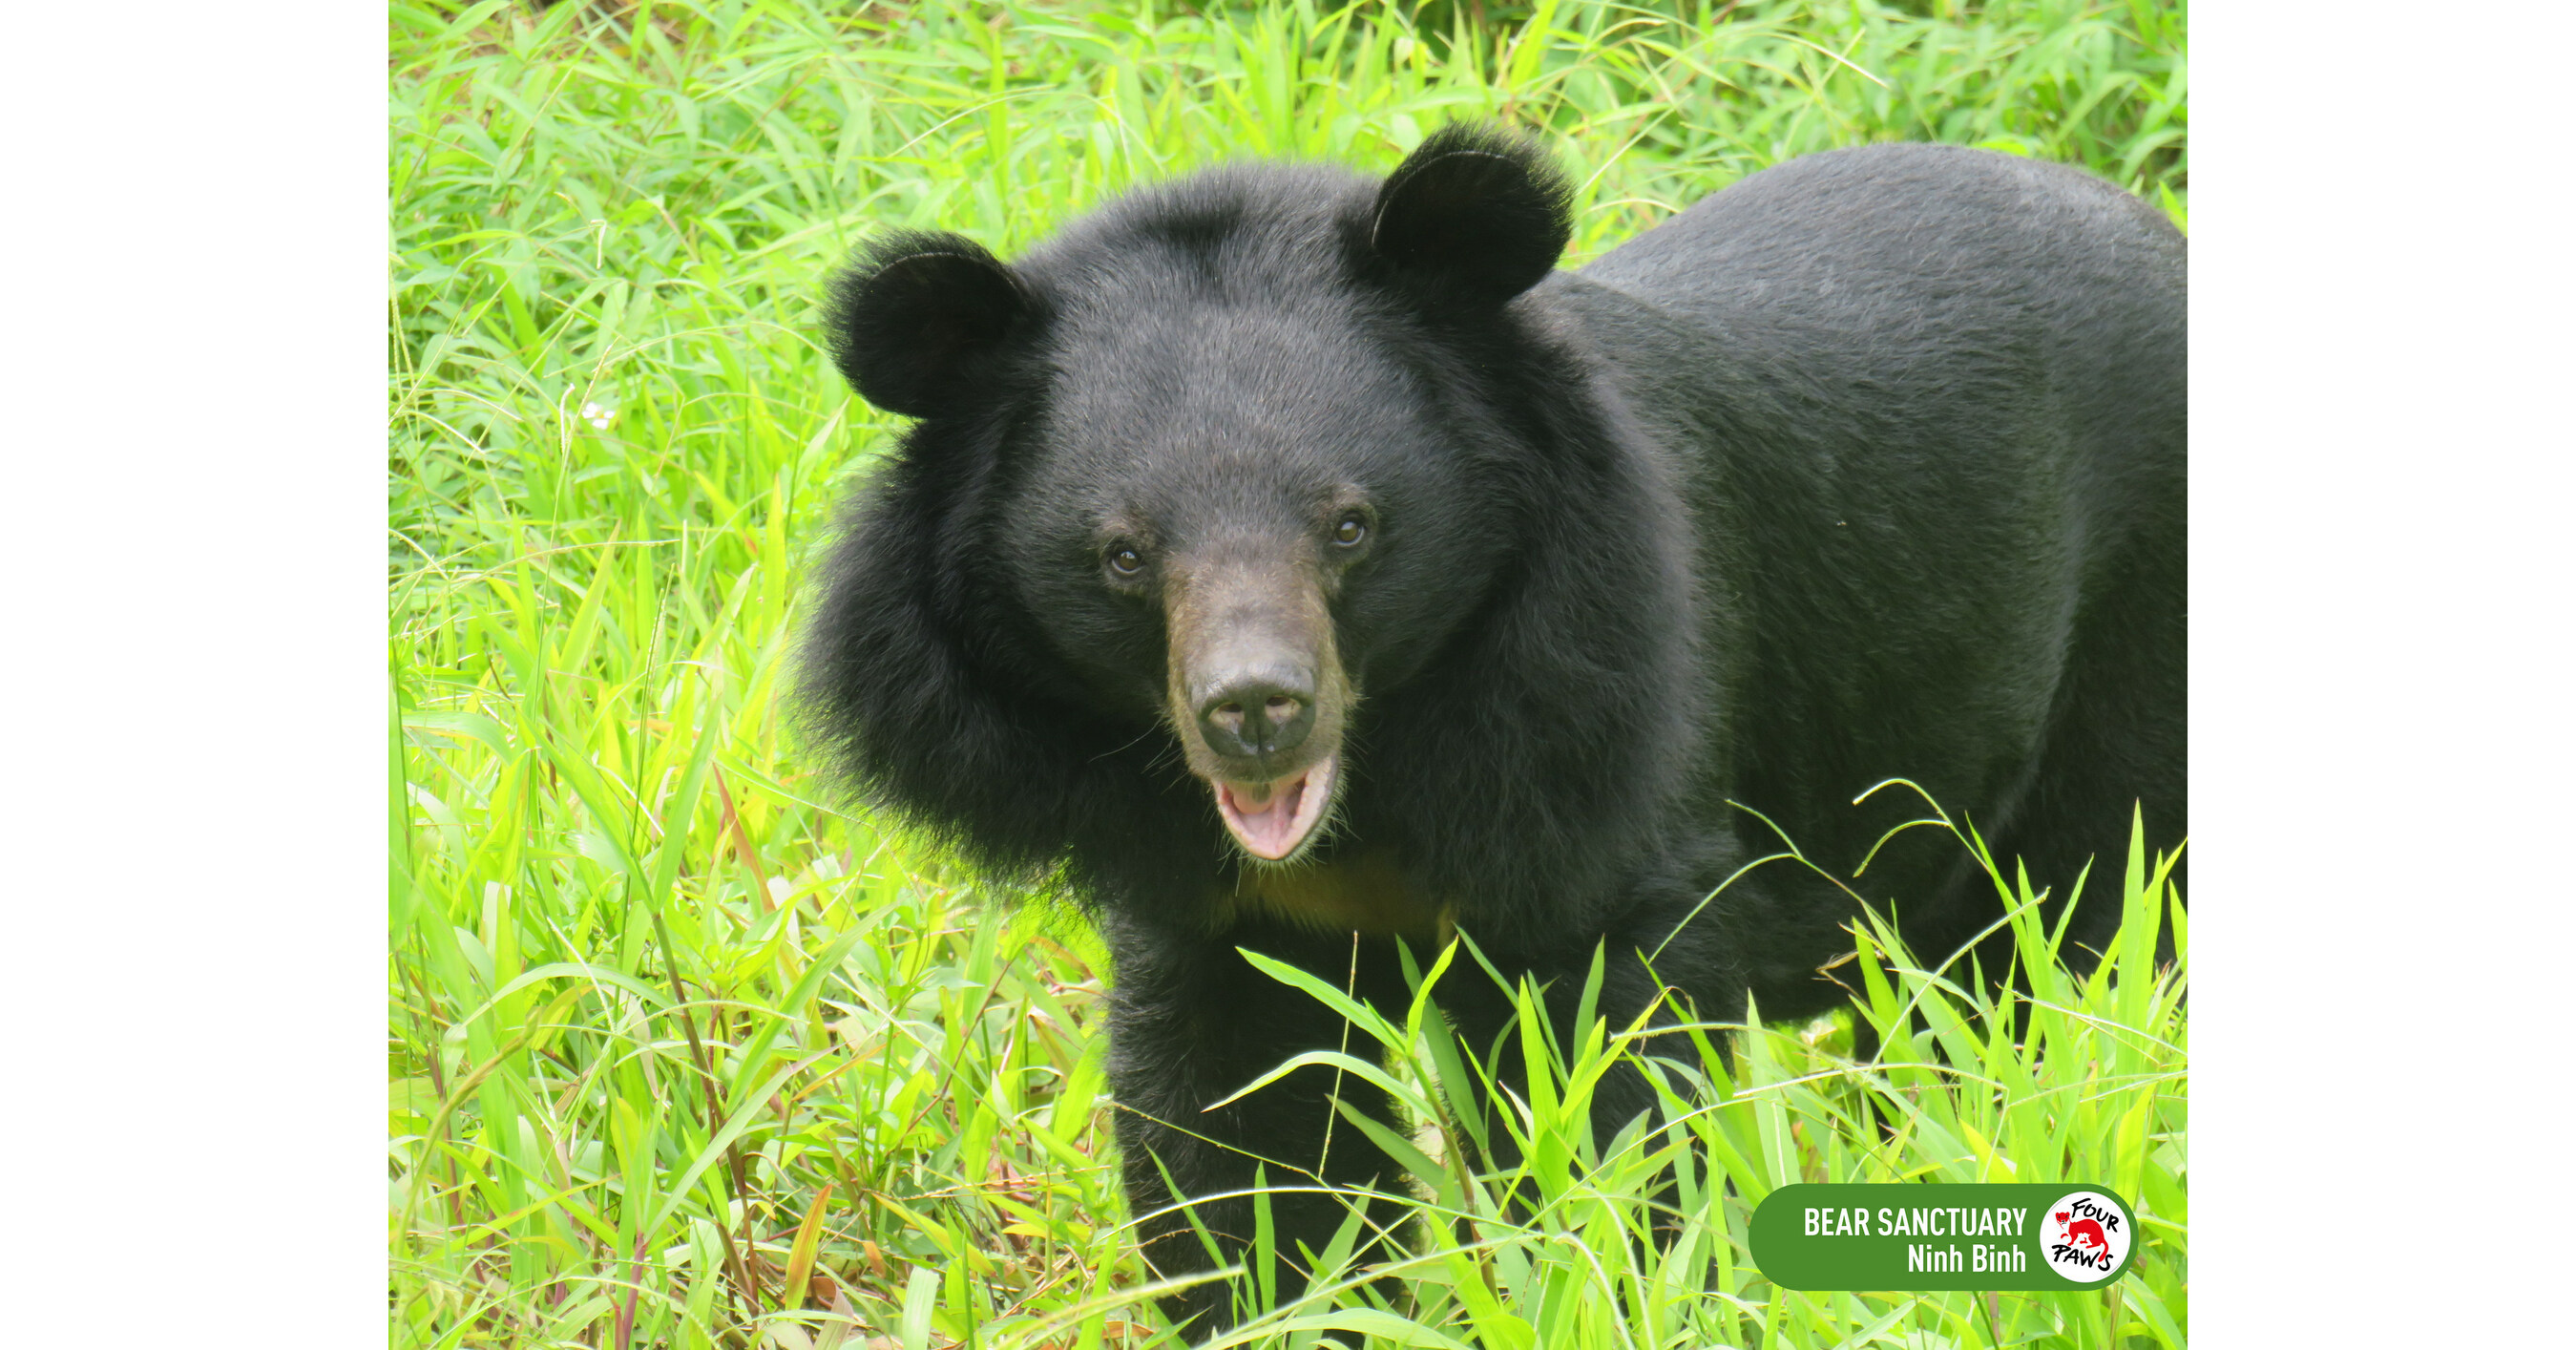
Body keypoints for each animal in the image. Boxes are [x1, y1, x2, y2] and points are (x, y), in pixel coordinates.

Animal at [796, 124, 2185, 1333]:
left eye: (1349, 525)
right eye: (1124, 555)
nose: (1253, 711)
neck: (1375, 782)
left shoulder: (1595, 742)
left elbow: (1610, 1100)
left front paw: (1614, 1275)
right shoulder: (1217, 909)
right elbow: (1240, 1143)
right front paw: (1284, 1309)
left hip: (2133, 637)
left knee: (2070, 937)